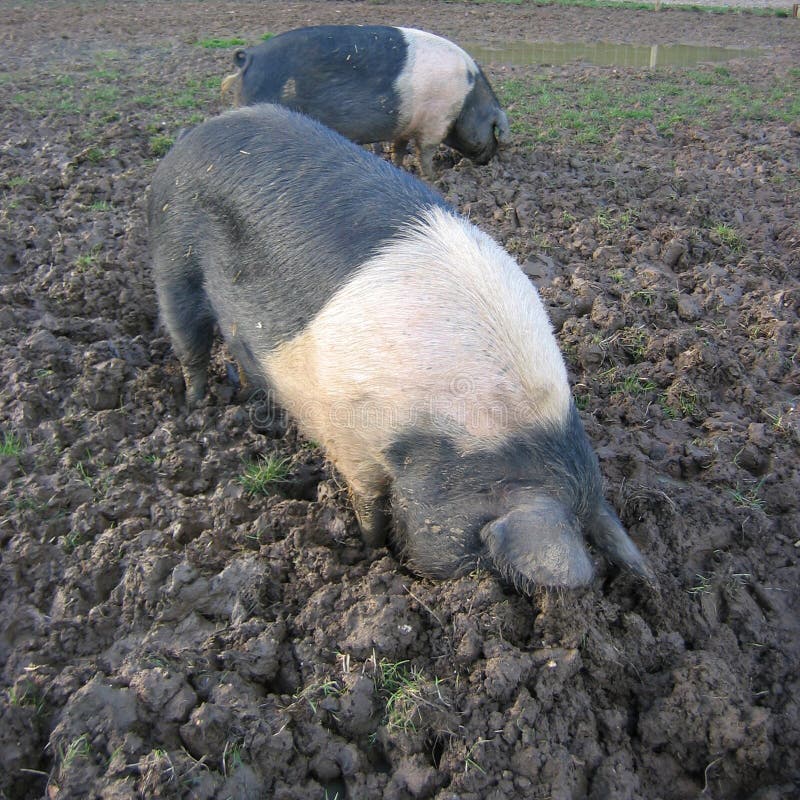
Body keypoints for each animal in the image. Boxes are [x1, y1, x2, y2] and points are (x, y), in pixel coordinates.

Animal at [148, 104, 654, 591]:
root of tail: (193, 136)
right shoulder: (349, 432)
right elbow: (368, 502)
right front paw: (372, 551)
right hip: (172, 258)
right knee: (188, 340)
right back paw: (197, 406)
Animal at [220, 24, 511, 178]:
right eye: (493, 128)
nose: (490, 160)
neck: (468, 99)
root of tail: (249, 57)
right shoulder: (435, 122)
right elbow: (425, 152)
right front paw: (433, 177)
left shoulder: (404, 125)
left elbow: (398, 148)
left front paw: (399, 167)